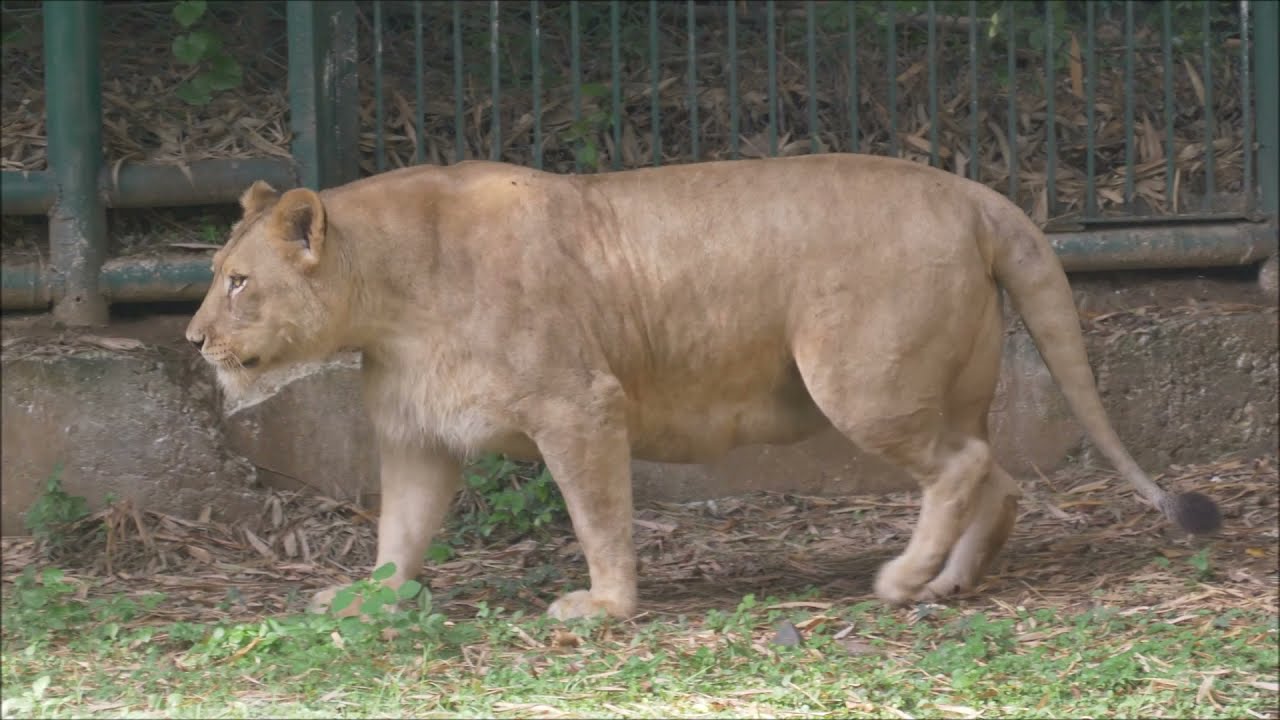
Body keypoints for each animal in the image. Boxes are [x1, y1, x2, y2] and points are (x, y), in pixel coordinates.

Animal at [186, 154, 1220, 620]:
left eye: (237, 281)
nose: (193, 339)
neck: (389, 299)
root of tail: (970, 190)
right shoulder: (420, 435)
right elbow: (400, 531)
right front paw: (366, 600)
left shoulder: (579, 404)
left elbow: (599, 516)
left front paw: (605, 608)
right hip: (947, 384)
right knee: (994, 473)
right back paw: (950, 581)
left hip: (860, 382)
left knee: (961, 468)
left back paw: (900, 579)